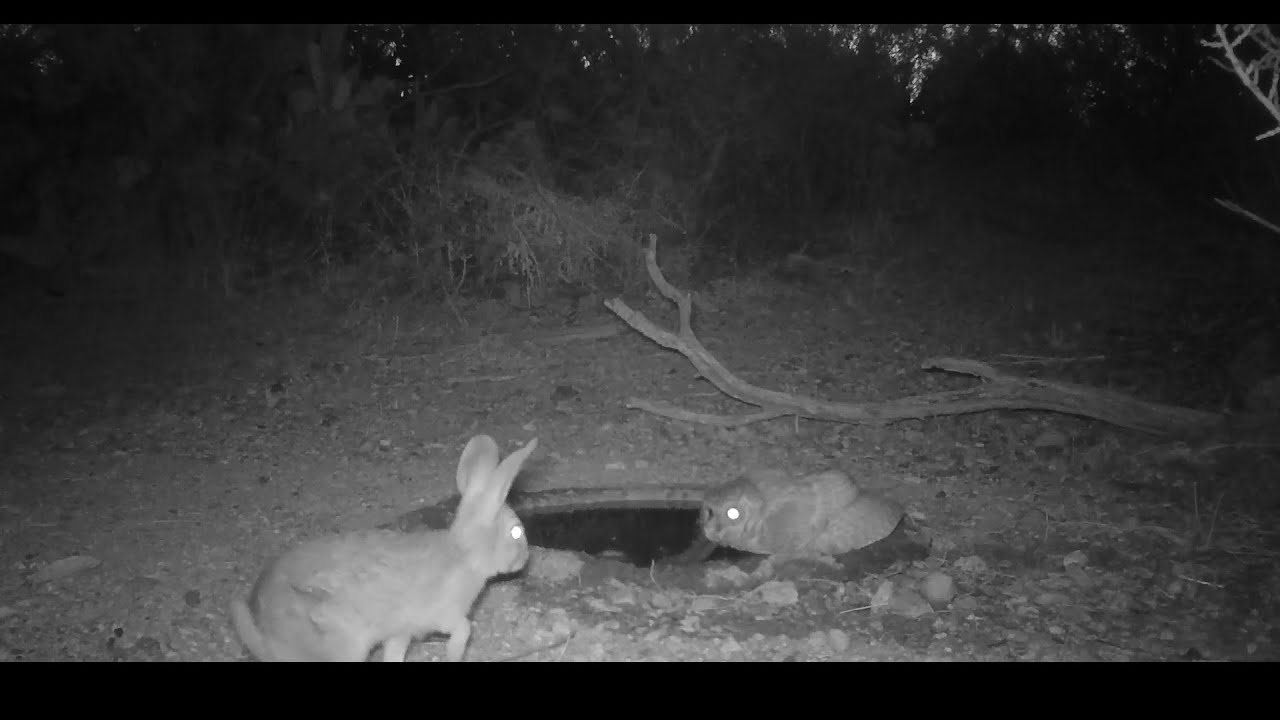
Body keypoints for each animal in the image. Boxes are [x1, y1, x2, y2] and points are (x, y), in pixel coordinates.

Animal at [229, 434, 537, 662]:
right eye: (516, 532)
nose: (525, 558)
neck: (465, 553)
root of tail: (265, 636)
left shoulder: (399, 633)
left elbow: (395, 653)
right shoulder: (441, 615)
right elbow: (463, 629)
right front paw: (453, 655)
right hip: (342, 643)